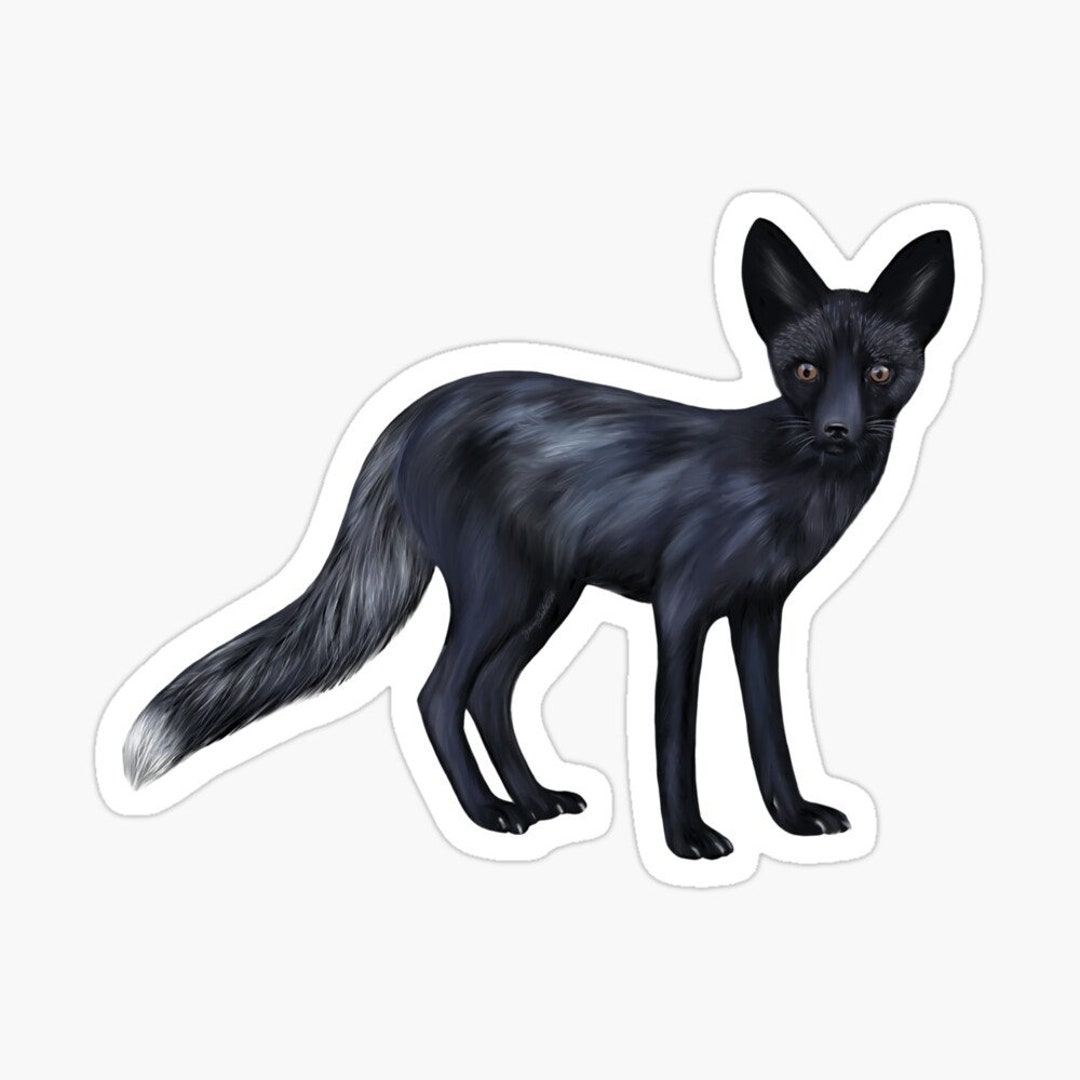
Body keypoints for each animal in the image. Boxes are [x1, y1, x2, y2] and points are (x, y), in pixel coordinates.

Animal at [122, 216, 955, 860]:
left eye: (880, 372)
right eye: (807, 371)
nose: (839, 432)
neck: (785, 484)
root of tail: (417, 409)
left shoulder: (761, 614)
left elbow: (769, 729)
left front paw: (794, 819)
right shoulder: (681, 611)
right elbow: (674, 737)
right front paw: (686, 840)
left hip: (546, 599)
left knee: (490, 693)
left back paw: (534, 799)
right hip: (501, 593)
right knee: (438, 693)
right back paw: (489, 814)